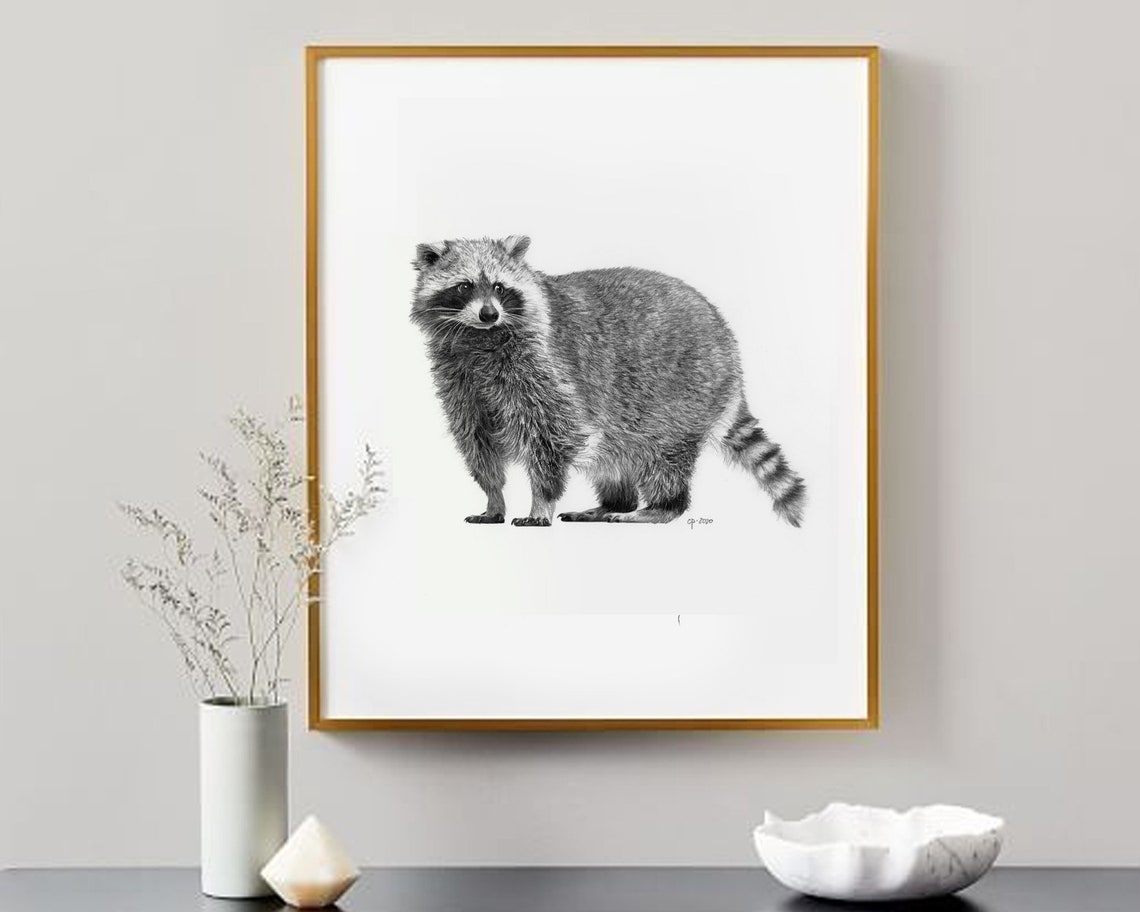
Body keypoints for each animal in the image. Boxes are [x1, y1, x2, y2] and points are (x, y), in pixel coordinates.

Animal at [409, 235, 806, 527]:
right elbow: (477, 438)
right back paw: (615, 502)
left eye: (499, 287)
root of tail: (730, 350)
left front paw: (541, 500)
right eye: (464, 286)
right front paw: (494, 497)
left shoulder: (547, 368)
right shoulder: (461, 379)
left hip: (687, 389)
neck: (479, 337)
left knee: (664, 455)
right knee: (615, 455)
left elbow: (556, 432)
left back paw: (660, 507)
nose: (489, 314)